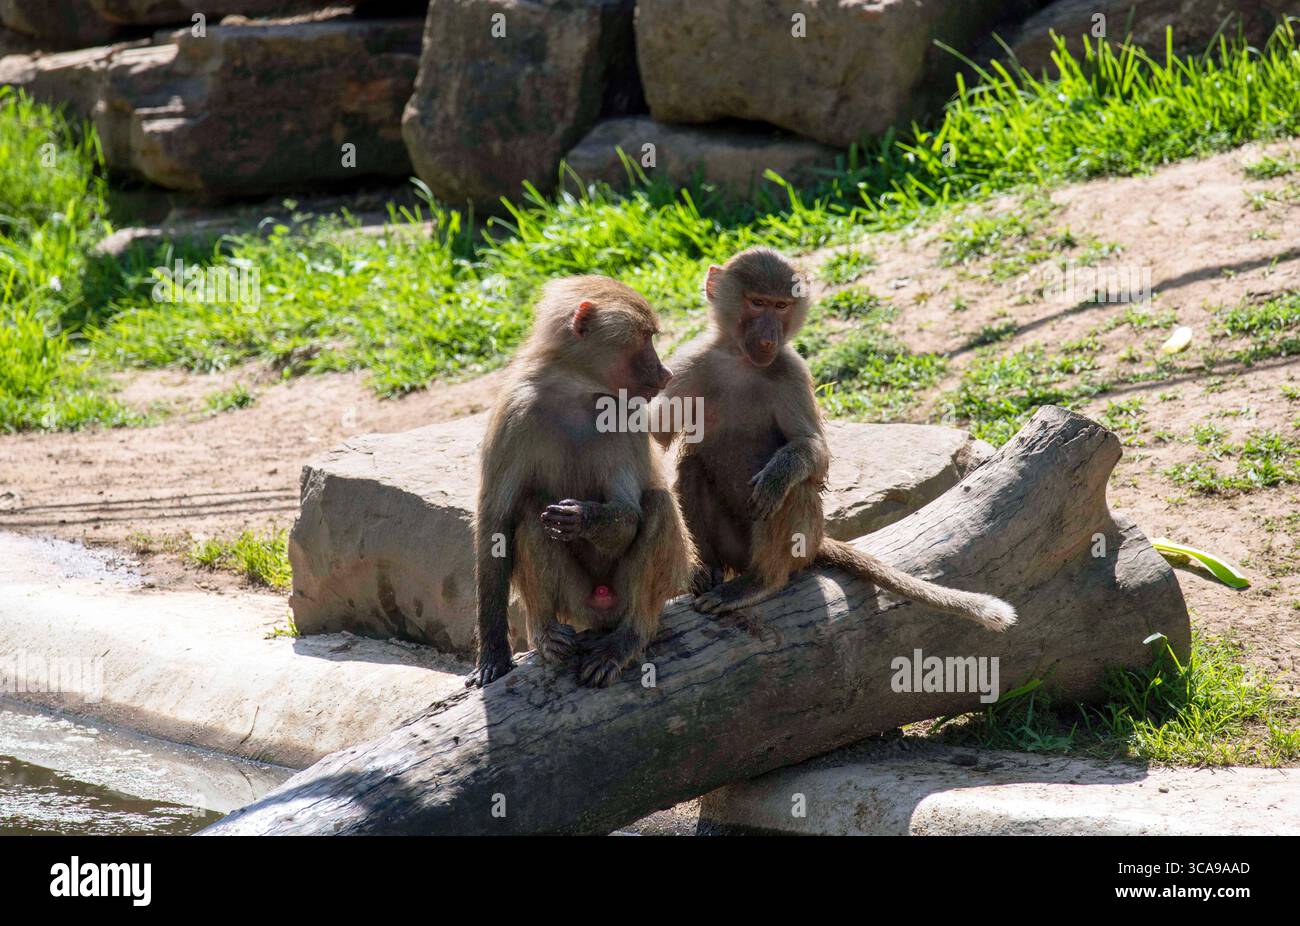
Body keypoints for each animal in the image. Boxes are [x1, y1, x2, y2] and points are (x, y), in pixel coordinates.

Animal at [467, 275, 695, 689]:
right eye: (645, 337)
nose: (667, 374)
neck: (572, 391)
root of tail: (600, 611)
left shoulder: (626, 415)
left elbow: (629, 515)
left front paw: (584, 518)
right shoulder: (513, 413)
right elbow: (495, 523)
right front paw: (492, 655)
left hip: (644, 586)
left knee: (657, 506)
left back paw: (626, 639)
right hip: (576, 601)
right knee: (530, 513)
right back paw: (545, 633)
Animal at [651, 247, 1016, 631]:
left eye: (781, 306)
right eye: (757, 302)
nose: (768, 339)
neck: (741, 360)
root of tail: (817, 543)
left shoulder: (792, 370)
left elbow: (816, 453)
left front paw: (778, 475)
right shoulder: (688, 365)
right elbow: (656, 436)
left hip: (796, 543)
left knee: (794, 490)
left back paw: (761, 581)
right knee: (693, 466)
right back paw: (707, 571)